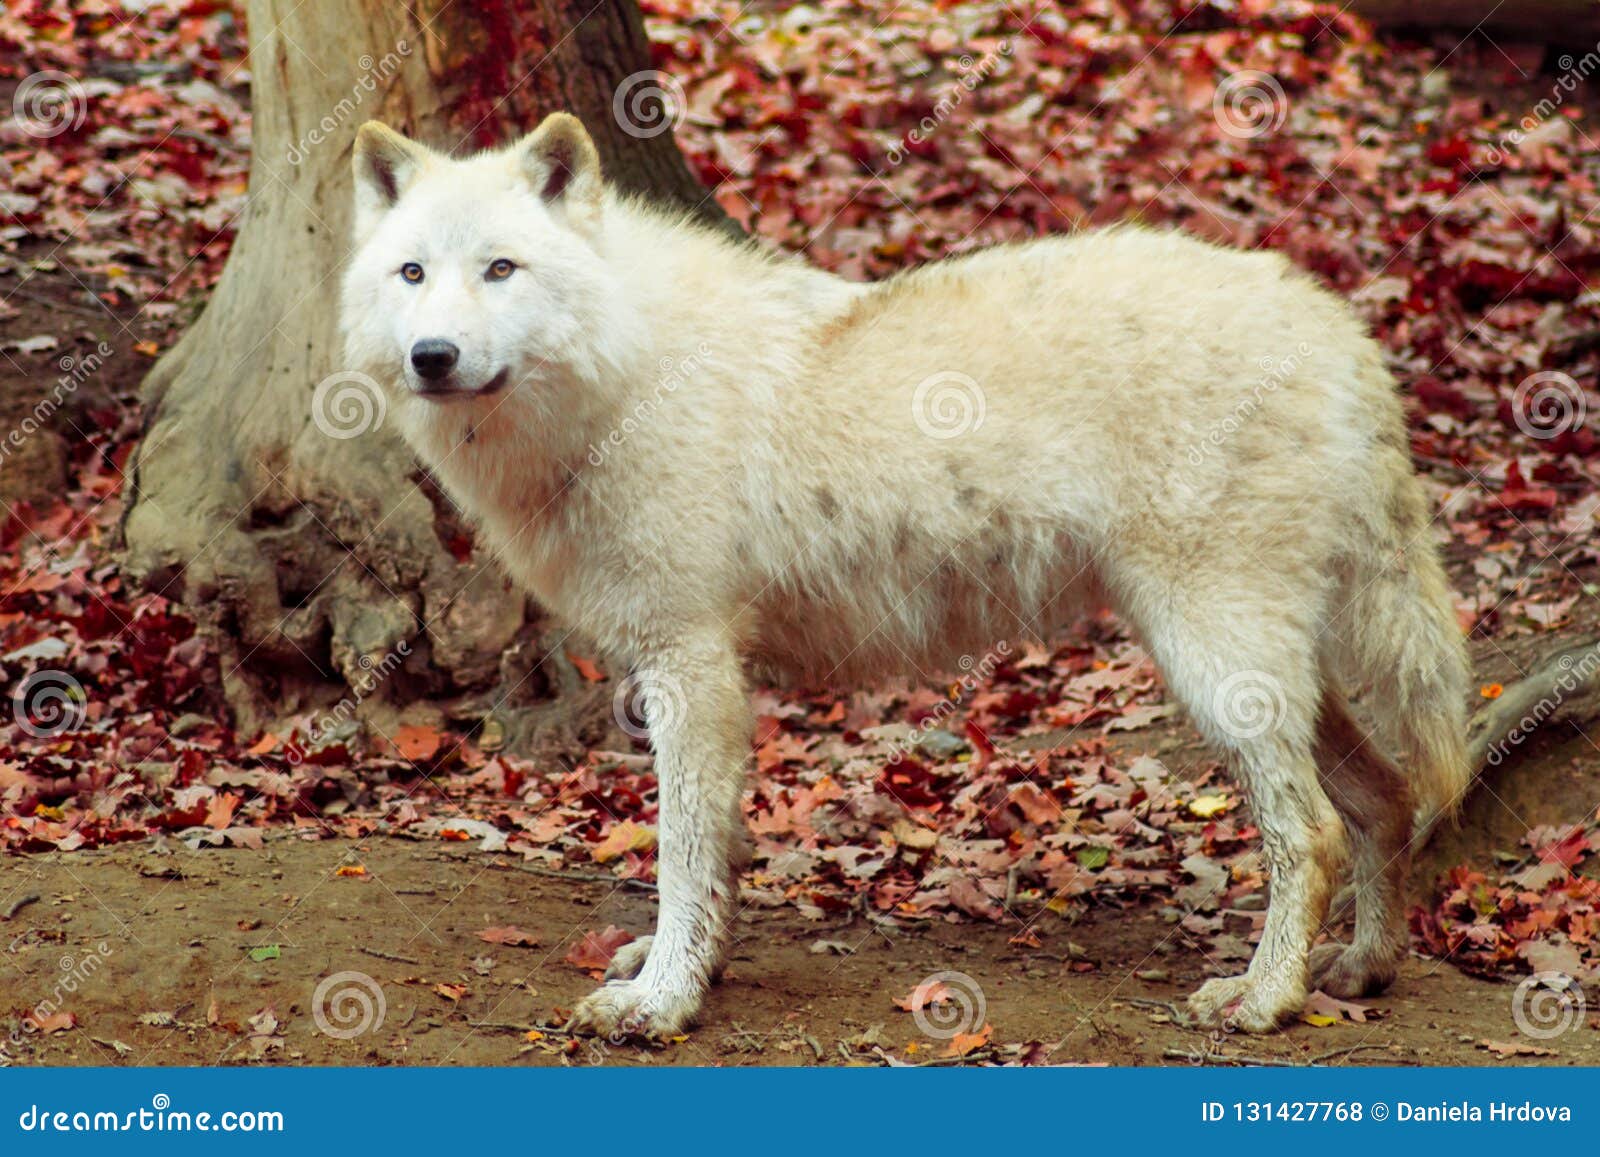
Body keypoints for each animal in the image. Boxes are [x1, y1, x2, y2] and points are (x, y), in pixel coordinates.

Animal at [340, 113, 1471, 1037]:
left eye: (500, 269)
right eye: (412, 274)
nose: (432, 355)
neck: (623, 373)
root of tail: (1331, 323)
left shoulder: (690, 663)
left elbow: (678, 850)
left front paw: (660, 1001)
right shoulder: (706, 672)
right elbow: (718, 853)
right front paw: (695, 967)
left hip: (1213, 659)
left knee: (1311, 830)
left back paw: (1265, 997)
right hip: (1259, 664)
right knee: (1383, 798)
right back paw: (1358, 971)